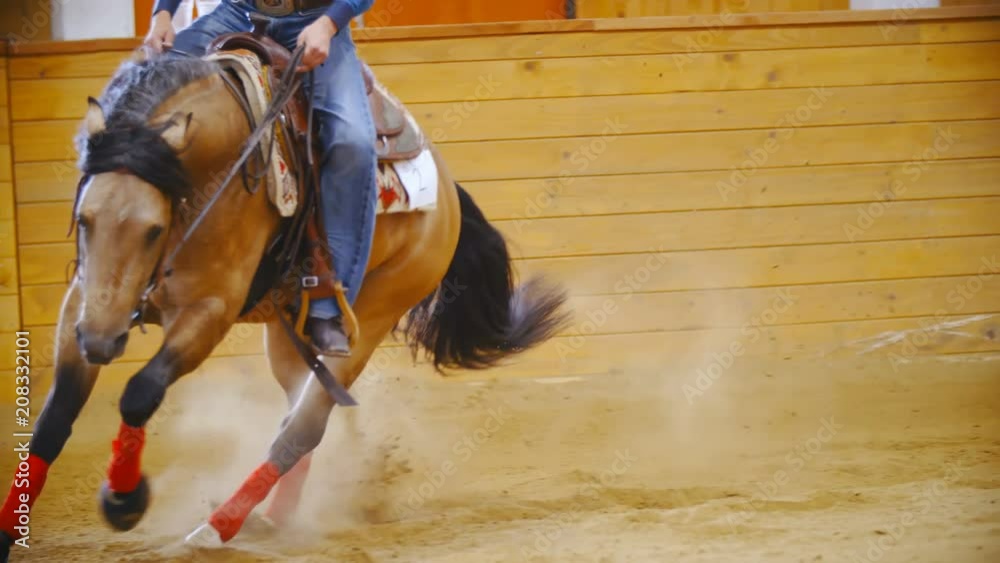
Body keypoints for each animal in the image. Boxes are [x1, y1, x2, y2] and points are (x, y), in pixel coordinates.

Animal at [0, 37, 570, 557]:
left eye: (152, 229)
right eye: (84, 219)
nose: (102, 343)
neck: (212, 171)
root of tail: (448, 191)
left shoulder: (210, 310)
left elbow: (140, 391)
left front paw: (124, 500)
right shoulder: (85, 305)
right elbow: (54, 417)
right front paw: (12, 529)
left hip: (369, 320)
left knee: (305, 427)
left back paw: (220, 527)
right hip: (286, 330)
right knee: (296, 413)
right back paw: (272, 519)